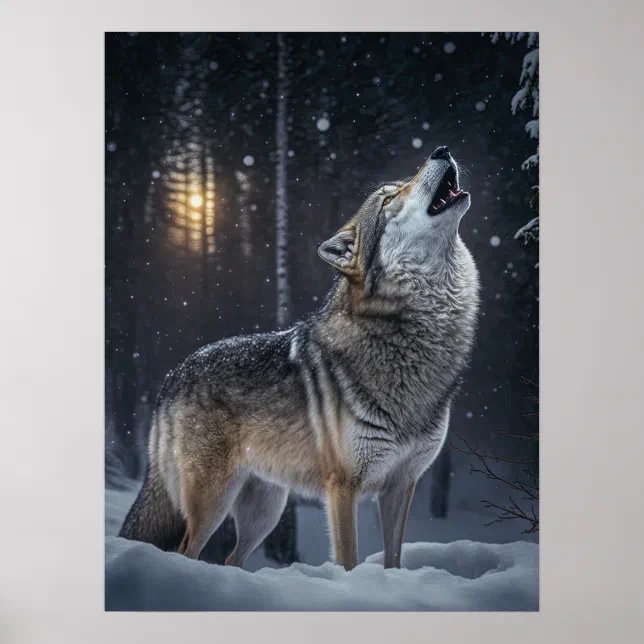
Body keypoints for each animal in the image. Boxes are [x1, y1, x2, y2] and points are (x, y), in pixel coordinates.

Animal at [119, 146, 480, 571]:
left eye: (401, 184)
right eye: (389, 198)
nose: (441, 150)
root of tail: (171, 375)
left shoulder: (400, 486)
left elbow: (393, 561)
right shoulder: (343, 487)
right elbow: (349, 560)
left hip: (265, 512)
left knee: (230, 560)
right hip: (214, 503)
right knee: (187, 552)